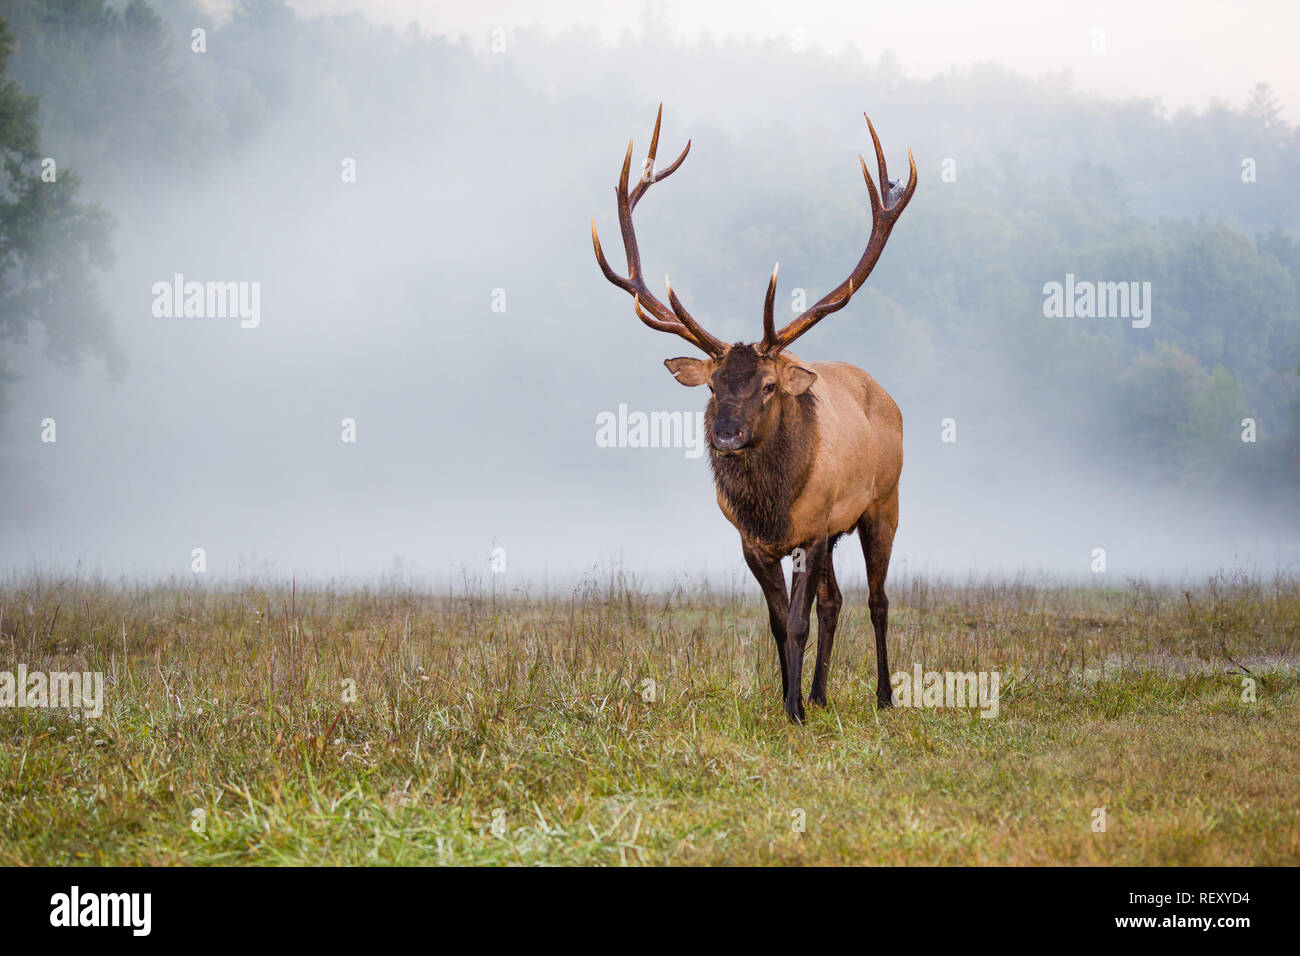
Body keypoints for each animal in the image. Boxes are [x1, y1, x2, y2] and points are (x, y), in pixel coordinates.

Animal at [592, 105, 917, 723]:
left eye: (768, 385)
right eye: (713, 384)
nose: (725, 435)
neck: (772, 507)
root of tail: (885, 392)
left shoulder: (811, 532)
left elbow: (797, 622)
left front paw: (793, 711)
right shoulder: (752, 541)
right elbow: (777, 623)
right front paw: (790, 698)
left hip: (882, 502)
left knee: (879, 599)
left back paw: (884, 695)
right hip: (837, 528)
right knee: (835, 601)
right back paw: (820, 691)